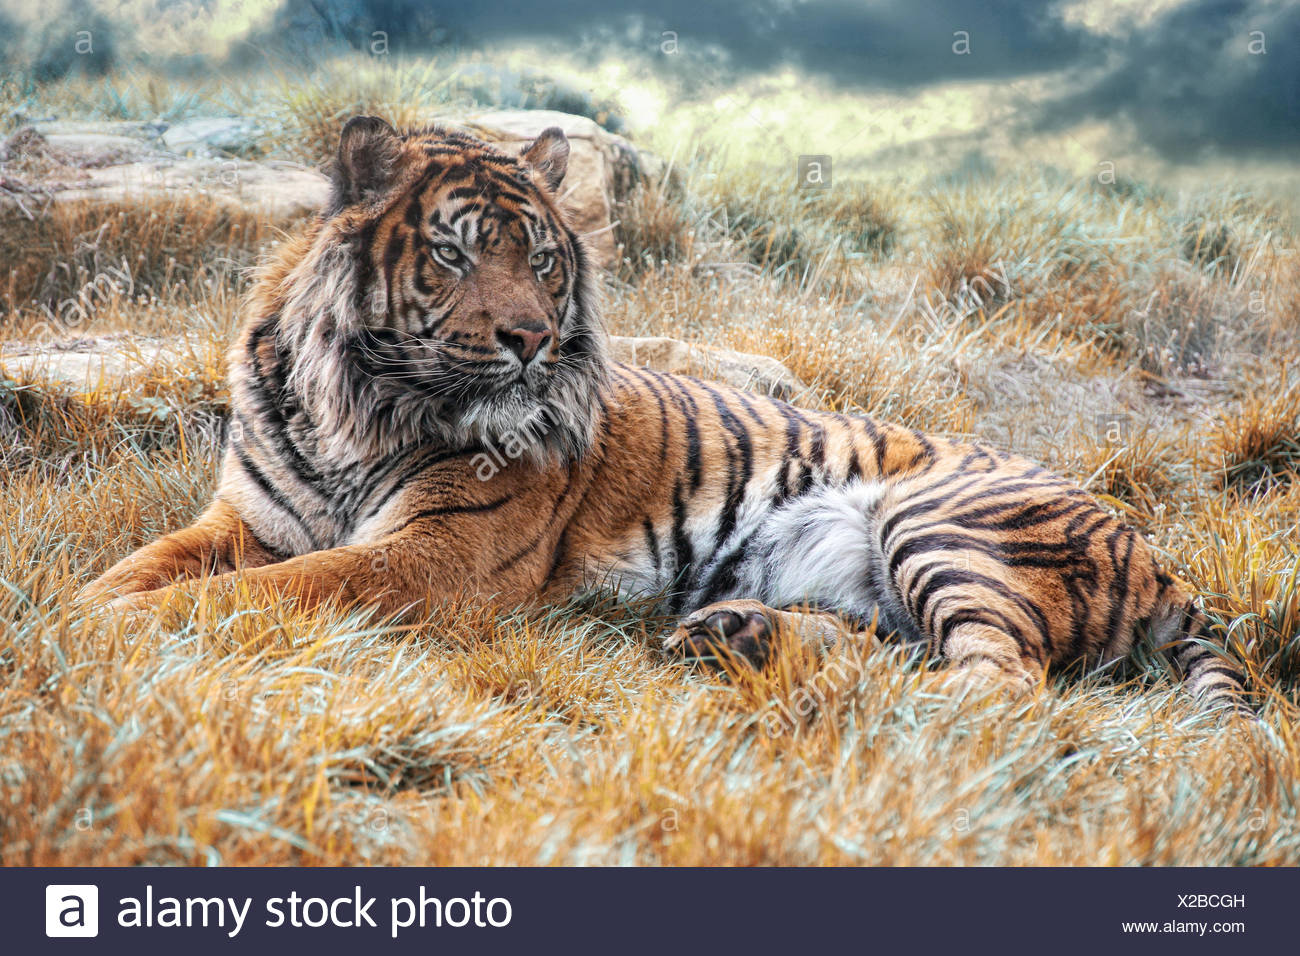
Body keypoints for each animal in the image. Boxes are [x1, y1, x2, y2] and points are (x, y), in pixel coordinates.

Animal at [81, 115, 1250, 713]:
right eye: (454, 253)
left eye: (541, 260)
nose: (528, 340)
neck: (352, 408)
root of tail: (1159, 555)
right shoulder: (244, 518)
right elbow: (142, 565)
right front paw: (73, 611)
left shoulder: (431, 555)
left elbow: (275, 592)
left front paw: (121, 633)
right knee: (910, 655)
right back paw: (736, 633)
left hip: (943, 521)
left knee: (998, 685)